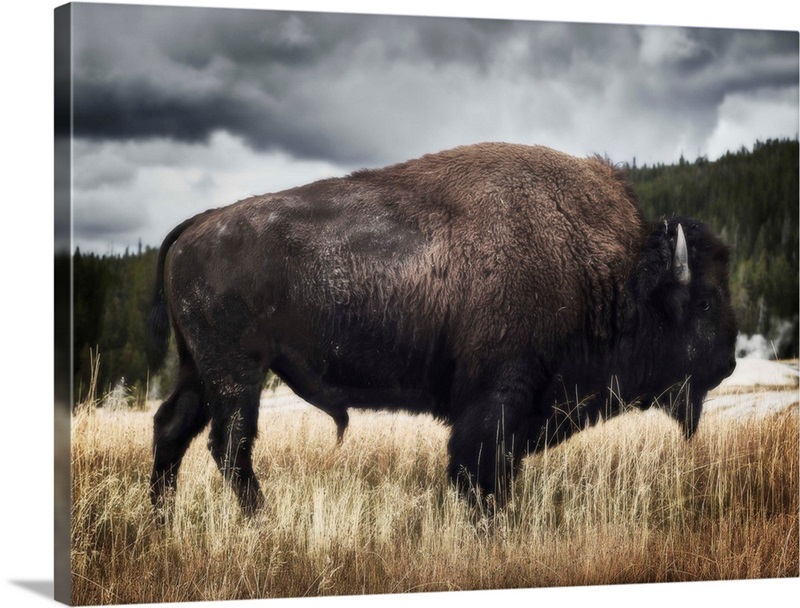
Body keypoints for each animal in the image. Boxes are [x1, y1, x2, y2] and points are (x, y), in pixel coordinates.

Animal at [147, 142, 737, 516]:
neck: (604, 265)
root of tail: (198, 224)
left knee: (172, 428)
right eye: (705, 302)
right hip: (237, 372)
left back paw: (160, 519)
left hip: (199, 368)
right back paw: (260, 520)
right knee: (230, 445)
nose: (728, 362)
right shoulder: (497, 398)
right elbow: (476, 472)